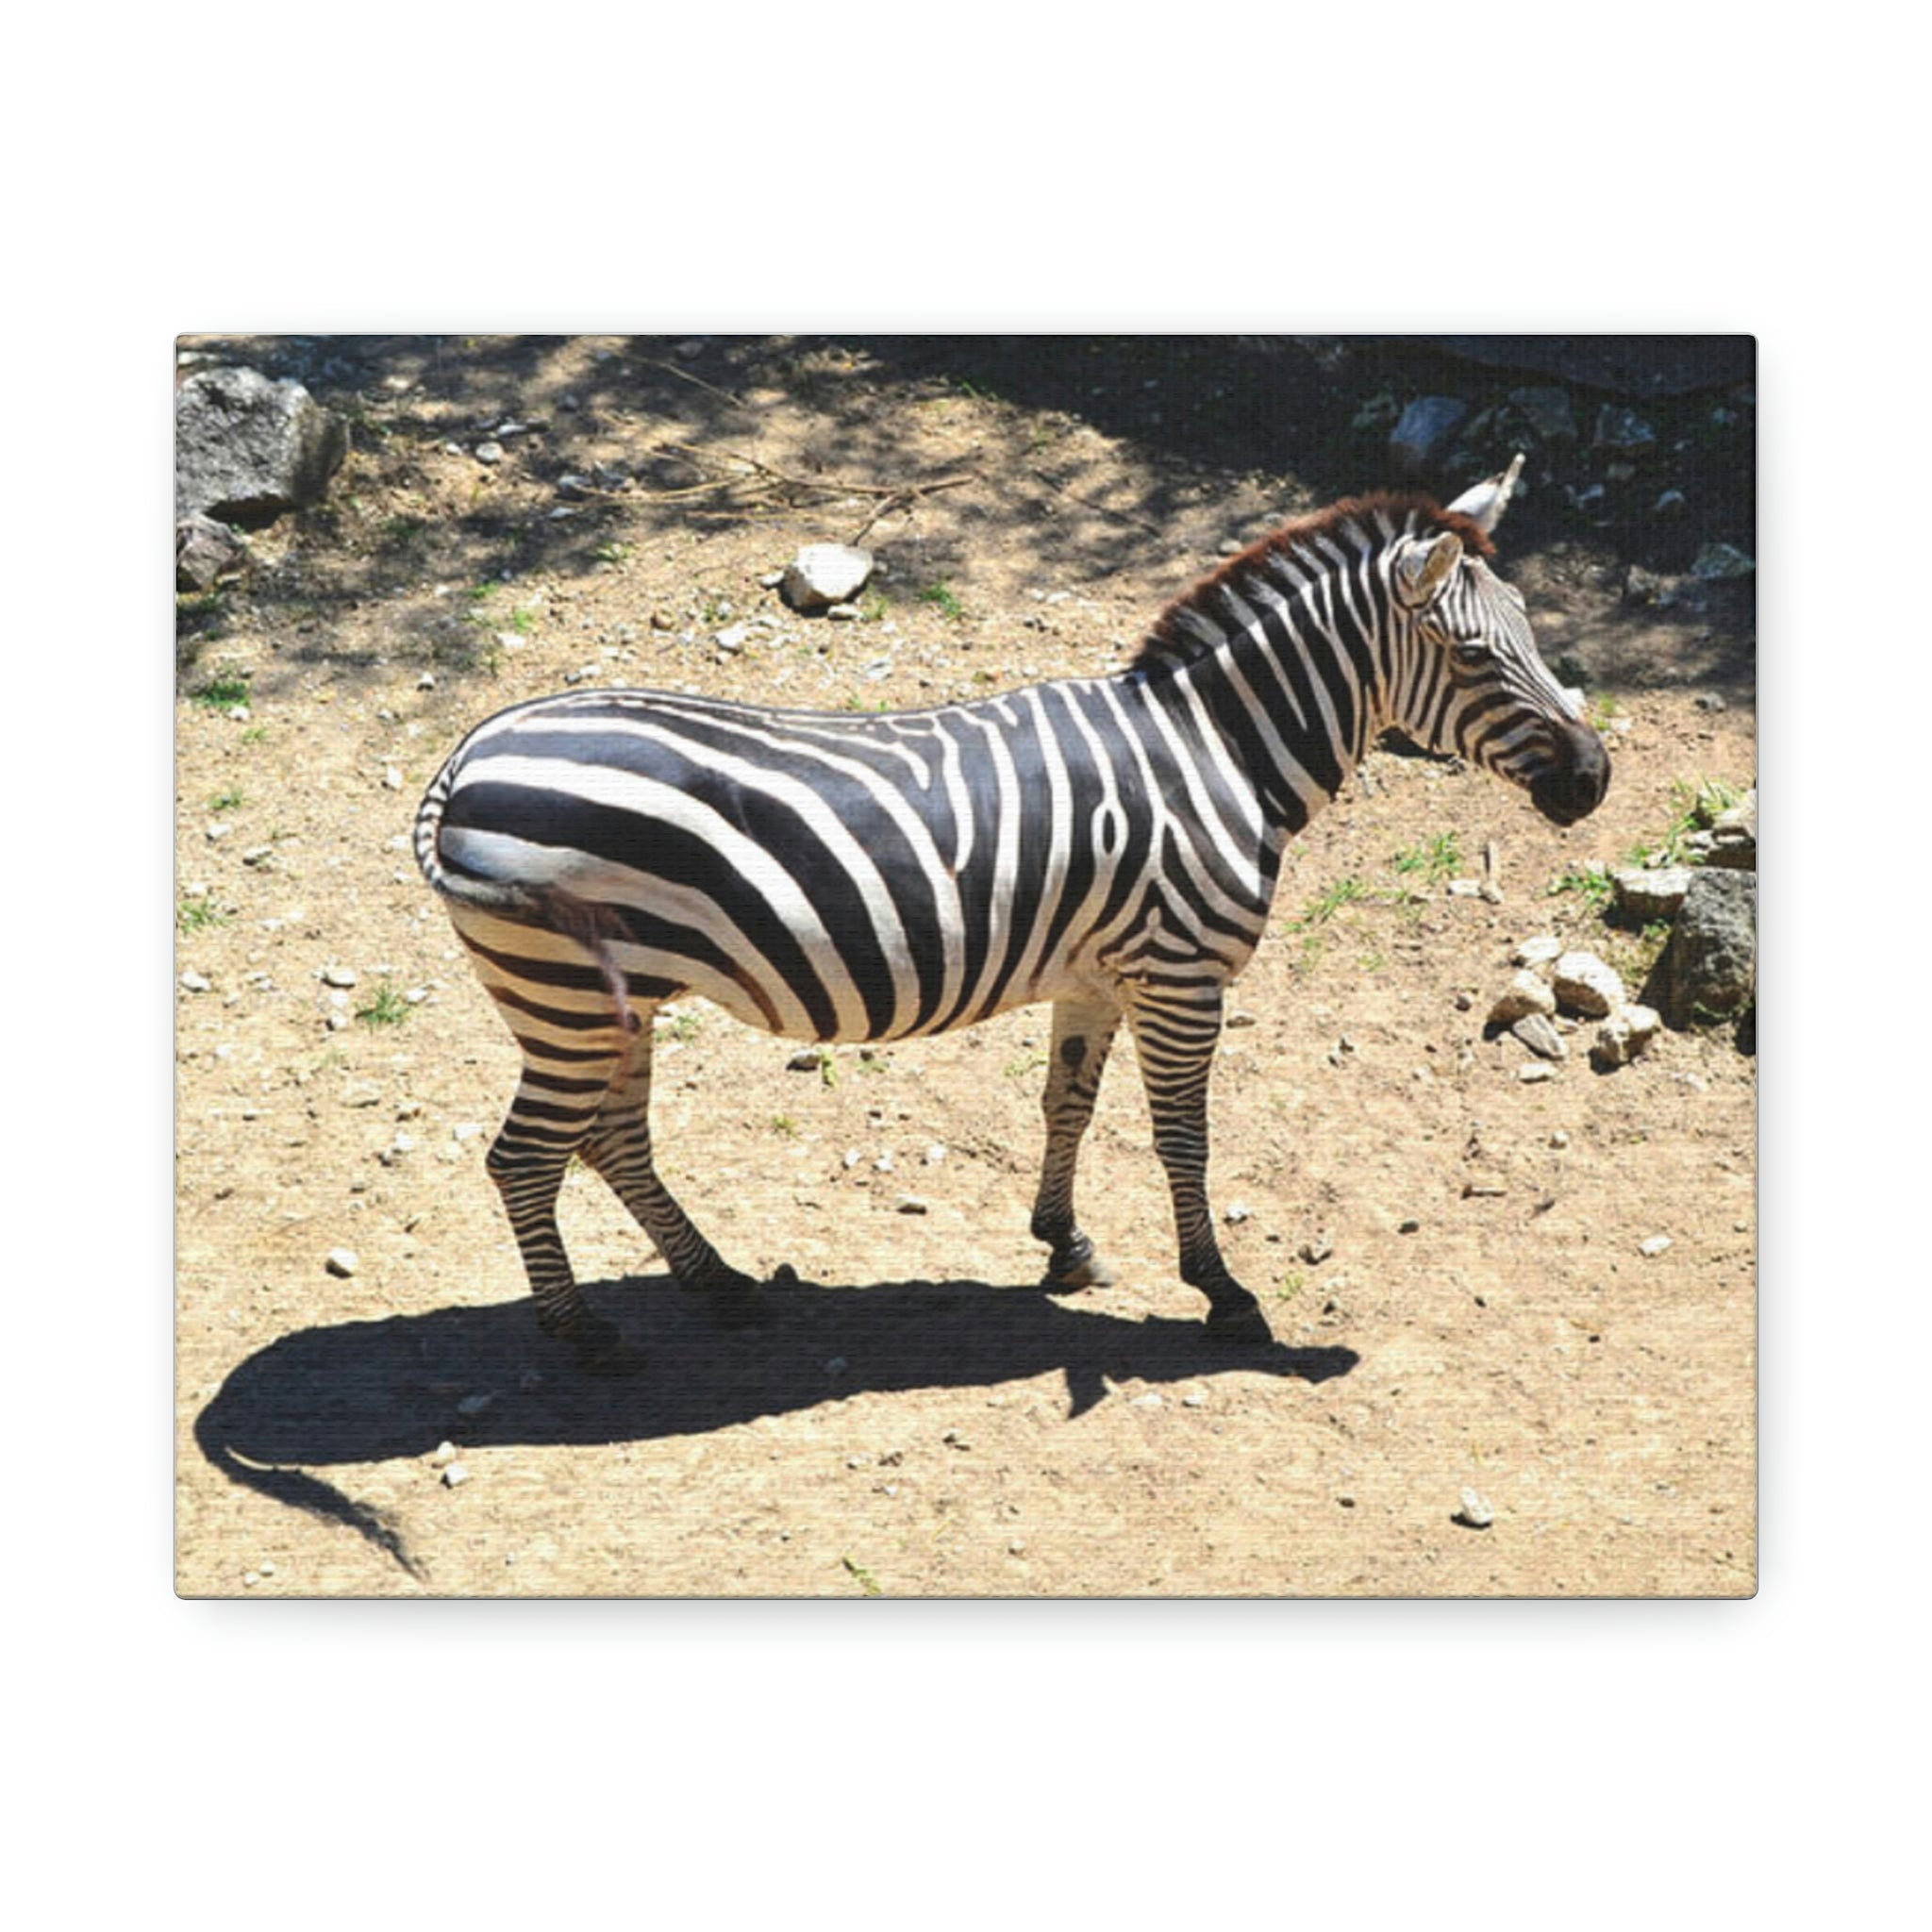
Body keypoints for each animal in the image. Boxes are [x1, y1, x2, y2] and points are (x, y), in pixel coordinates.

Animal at [414, 457, 1607, 1371]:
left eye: (1529, 629)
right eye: (1472, 654)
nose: (1593, 778)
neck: (1218, 751)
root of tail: (468, 757)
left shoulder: (1100, 971)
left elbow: (1064, 1103)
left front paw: (1062, 1242)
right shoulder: (1180, 974)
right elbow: (1182, 1135)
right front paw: (1220, 1289)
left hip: (612, 994)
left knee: (609, 1139)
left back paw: (721, 1284)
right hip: (566, 994)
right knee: (525, 1157)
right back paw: (583, 1334)